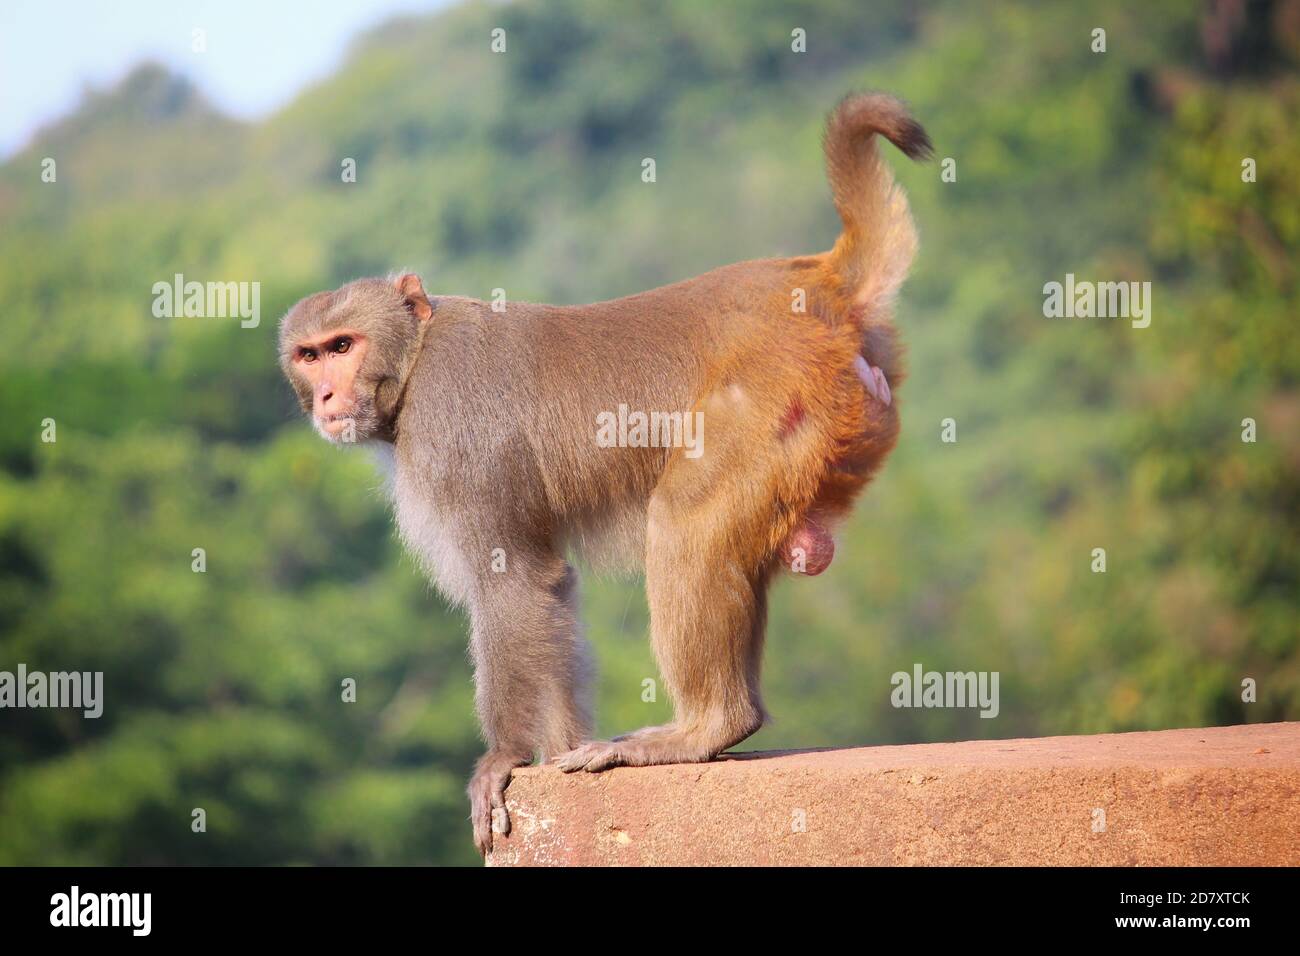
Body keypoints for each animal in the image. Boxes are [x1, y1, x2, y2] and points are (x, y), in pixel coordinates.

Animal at [278, 93, 930, 855]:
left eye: (343, 346)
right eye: (309, 355)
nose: (326, 396)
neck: (416, 358)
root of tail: (814, 279)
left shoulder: (454, 433)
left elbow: (513, 581)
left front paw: (503, 758)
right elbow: (550, 591)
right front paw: (554, 754)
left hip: (777, 401)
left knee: (683, 523)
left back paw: (707, 727)